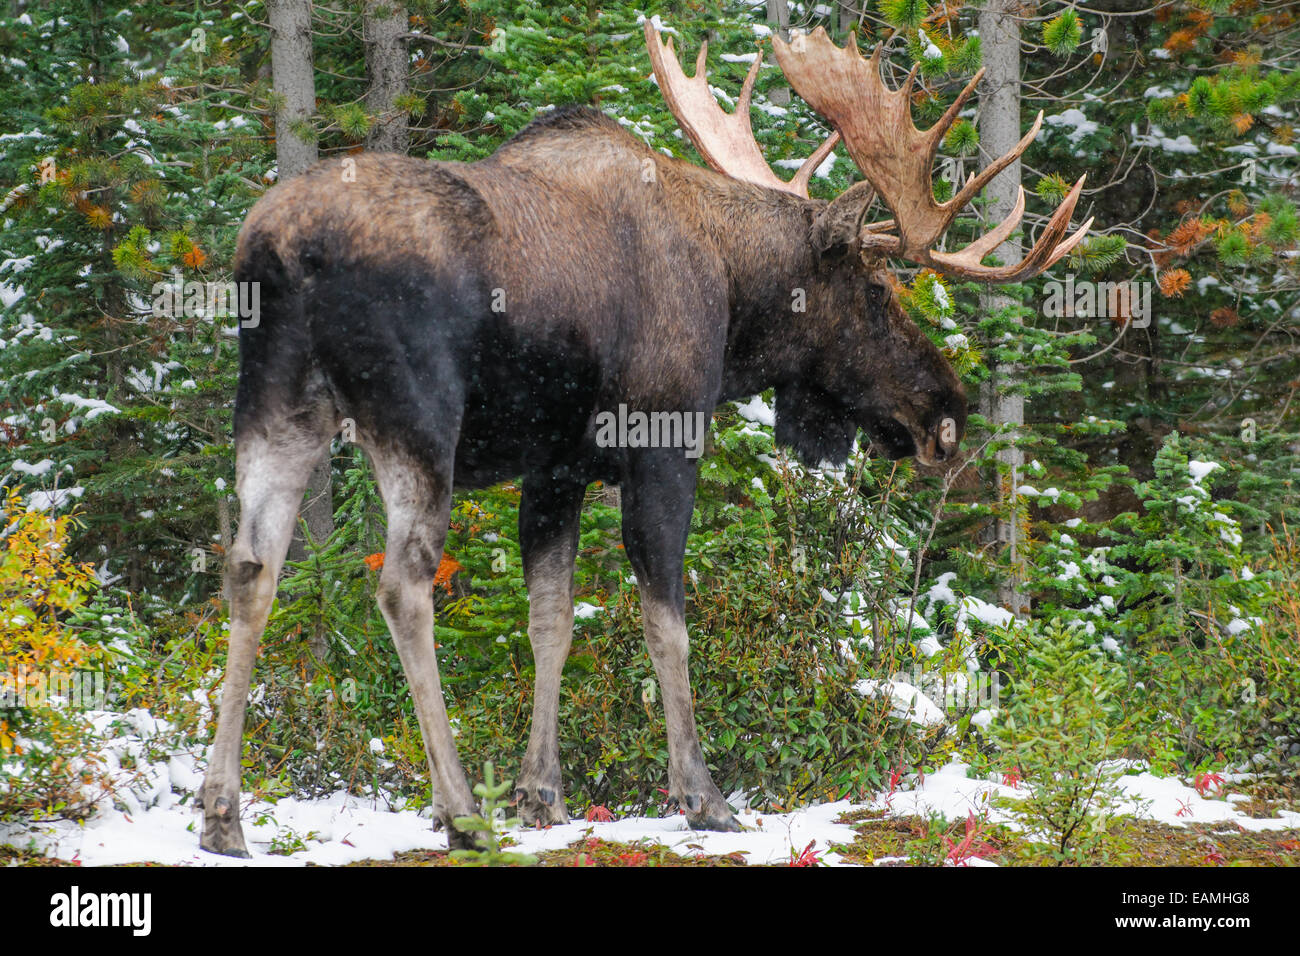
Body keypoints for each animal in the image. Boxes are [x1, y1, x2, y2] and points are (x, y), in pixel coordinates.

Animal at [198, 22, 1090, 855]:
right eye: (875, 289)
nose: (947, 415)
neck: (732, 296)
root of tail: (280, 250)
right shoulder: (665, 438)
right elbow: (666, 620)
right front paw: (701, 794)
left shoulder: (554, 468)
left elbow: (551, 620)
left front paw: (541, 794)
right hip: (417, 419)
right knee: (400, 587)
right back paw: (457, 811)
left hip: (278, 407)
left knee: (249, 568)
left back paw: (222, 815)